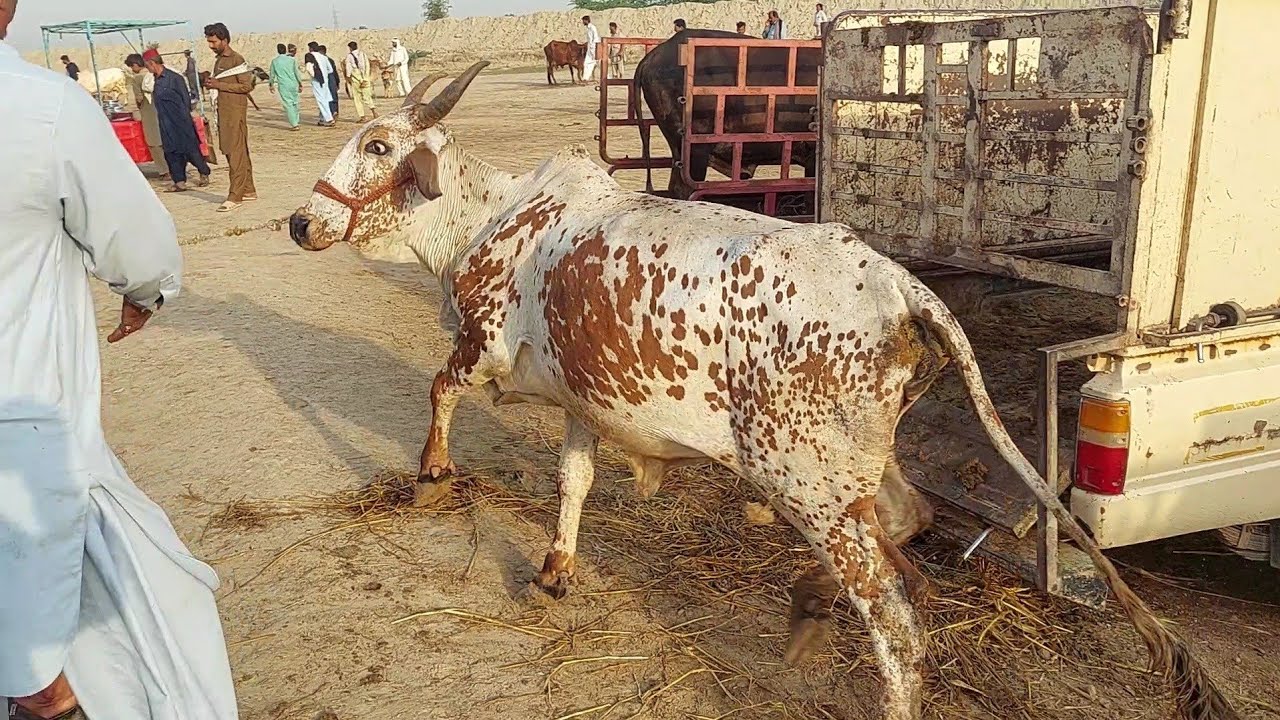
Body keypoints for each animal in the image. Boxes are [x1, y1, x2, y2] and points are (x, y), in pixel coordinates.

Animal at [287, 63, 1237, 720]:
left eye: (378, 146)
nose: (301, 220)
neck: (492, 217)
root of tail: (901, 287)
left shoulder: (480, 346)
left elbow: (438, 392)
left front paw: (431, 472)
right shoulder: (586, 400)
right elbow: (573, 481)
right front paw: (556, 568)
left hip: (804, 480)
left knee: (898, 628)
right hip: (846, 474)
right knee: (910, 520)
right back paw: (811, 599)